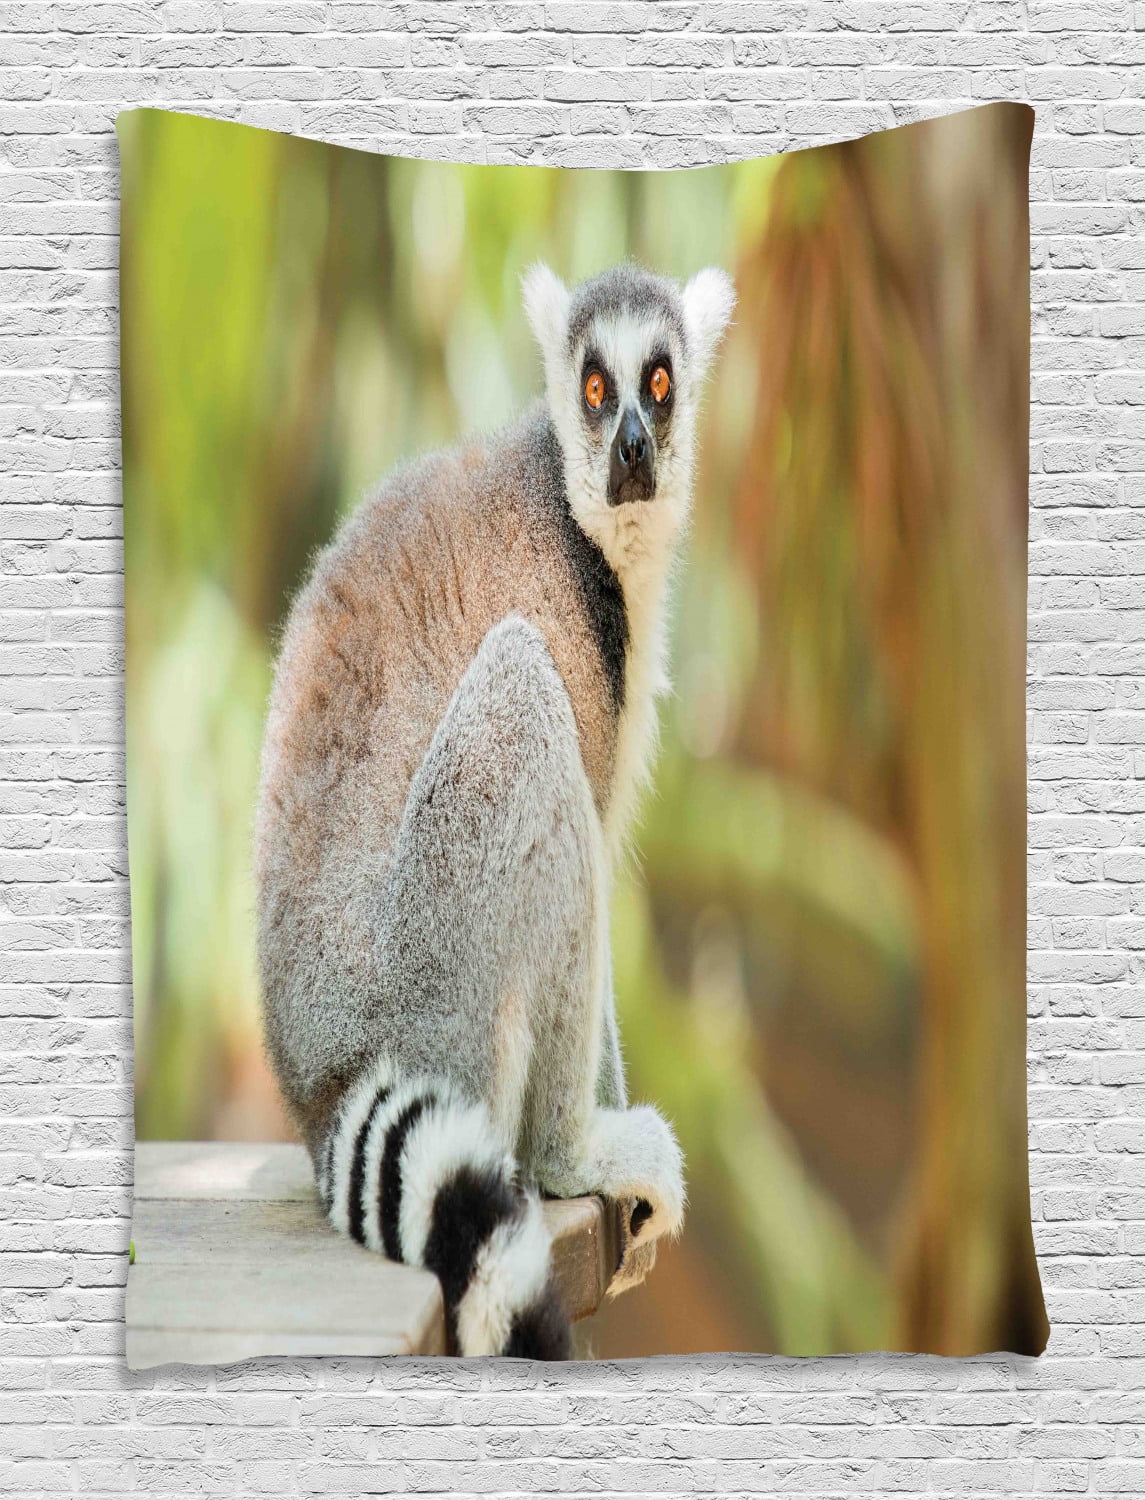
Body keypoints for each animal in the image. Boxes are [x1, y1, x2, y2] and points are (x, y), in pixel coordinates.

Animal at [255, 261, 736, 1359]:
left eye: (658, 381)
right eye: (595, 389)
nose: (633, 447)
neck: (580, 516)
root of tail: (317, 1083)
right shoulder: (571, 626)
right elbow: (586, 860)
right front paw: (598, 1141)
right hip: (435, 980)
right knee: (520, 702)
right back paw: (565, 1152)